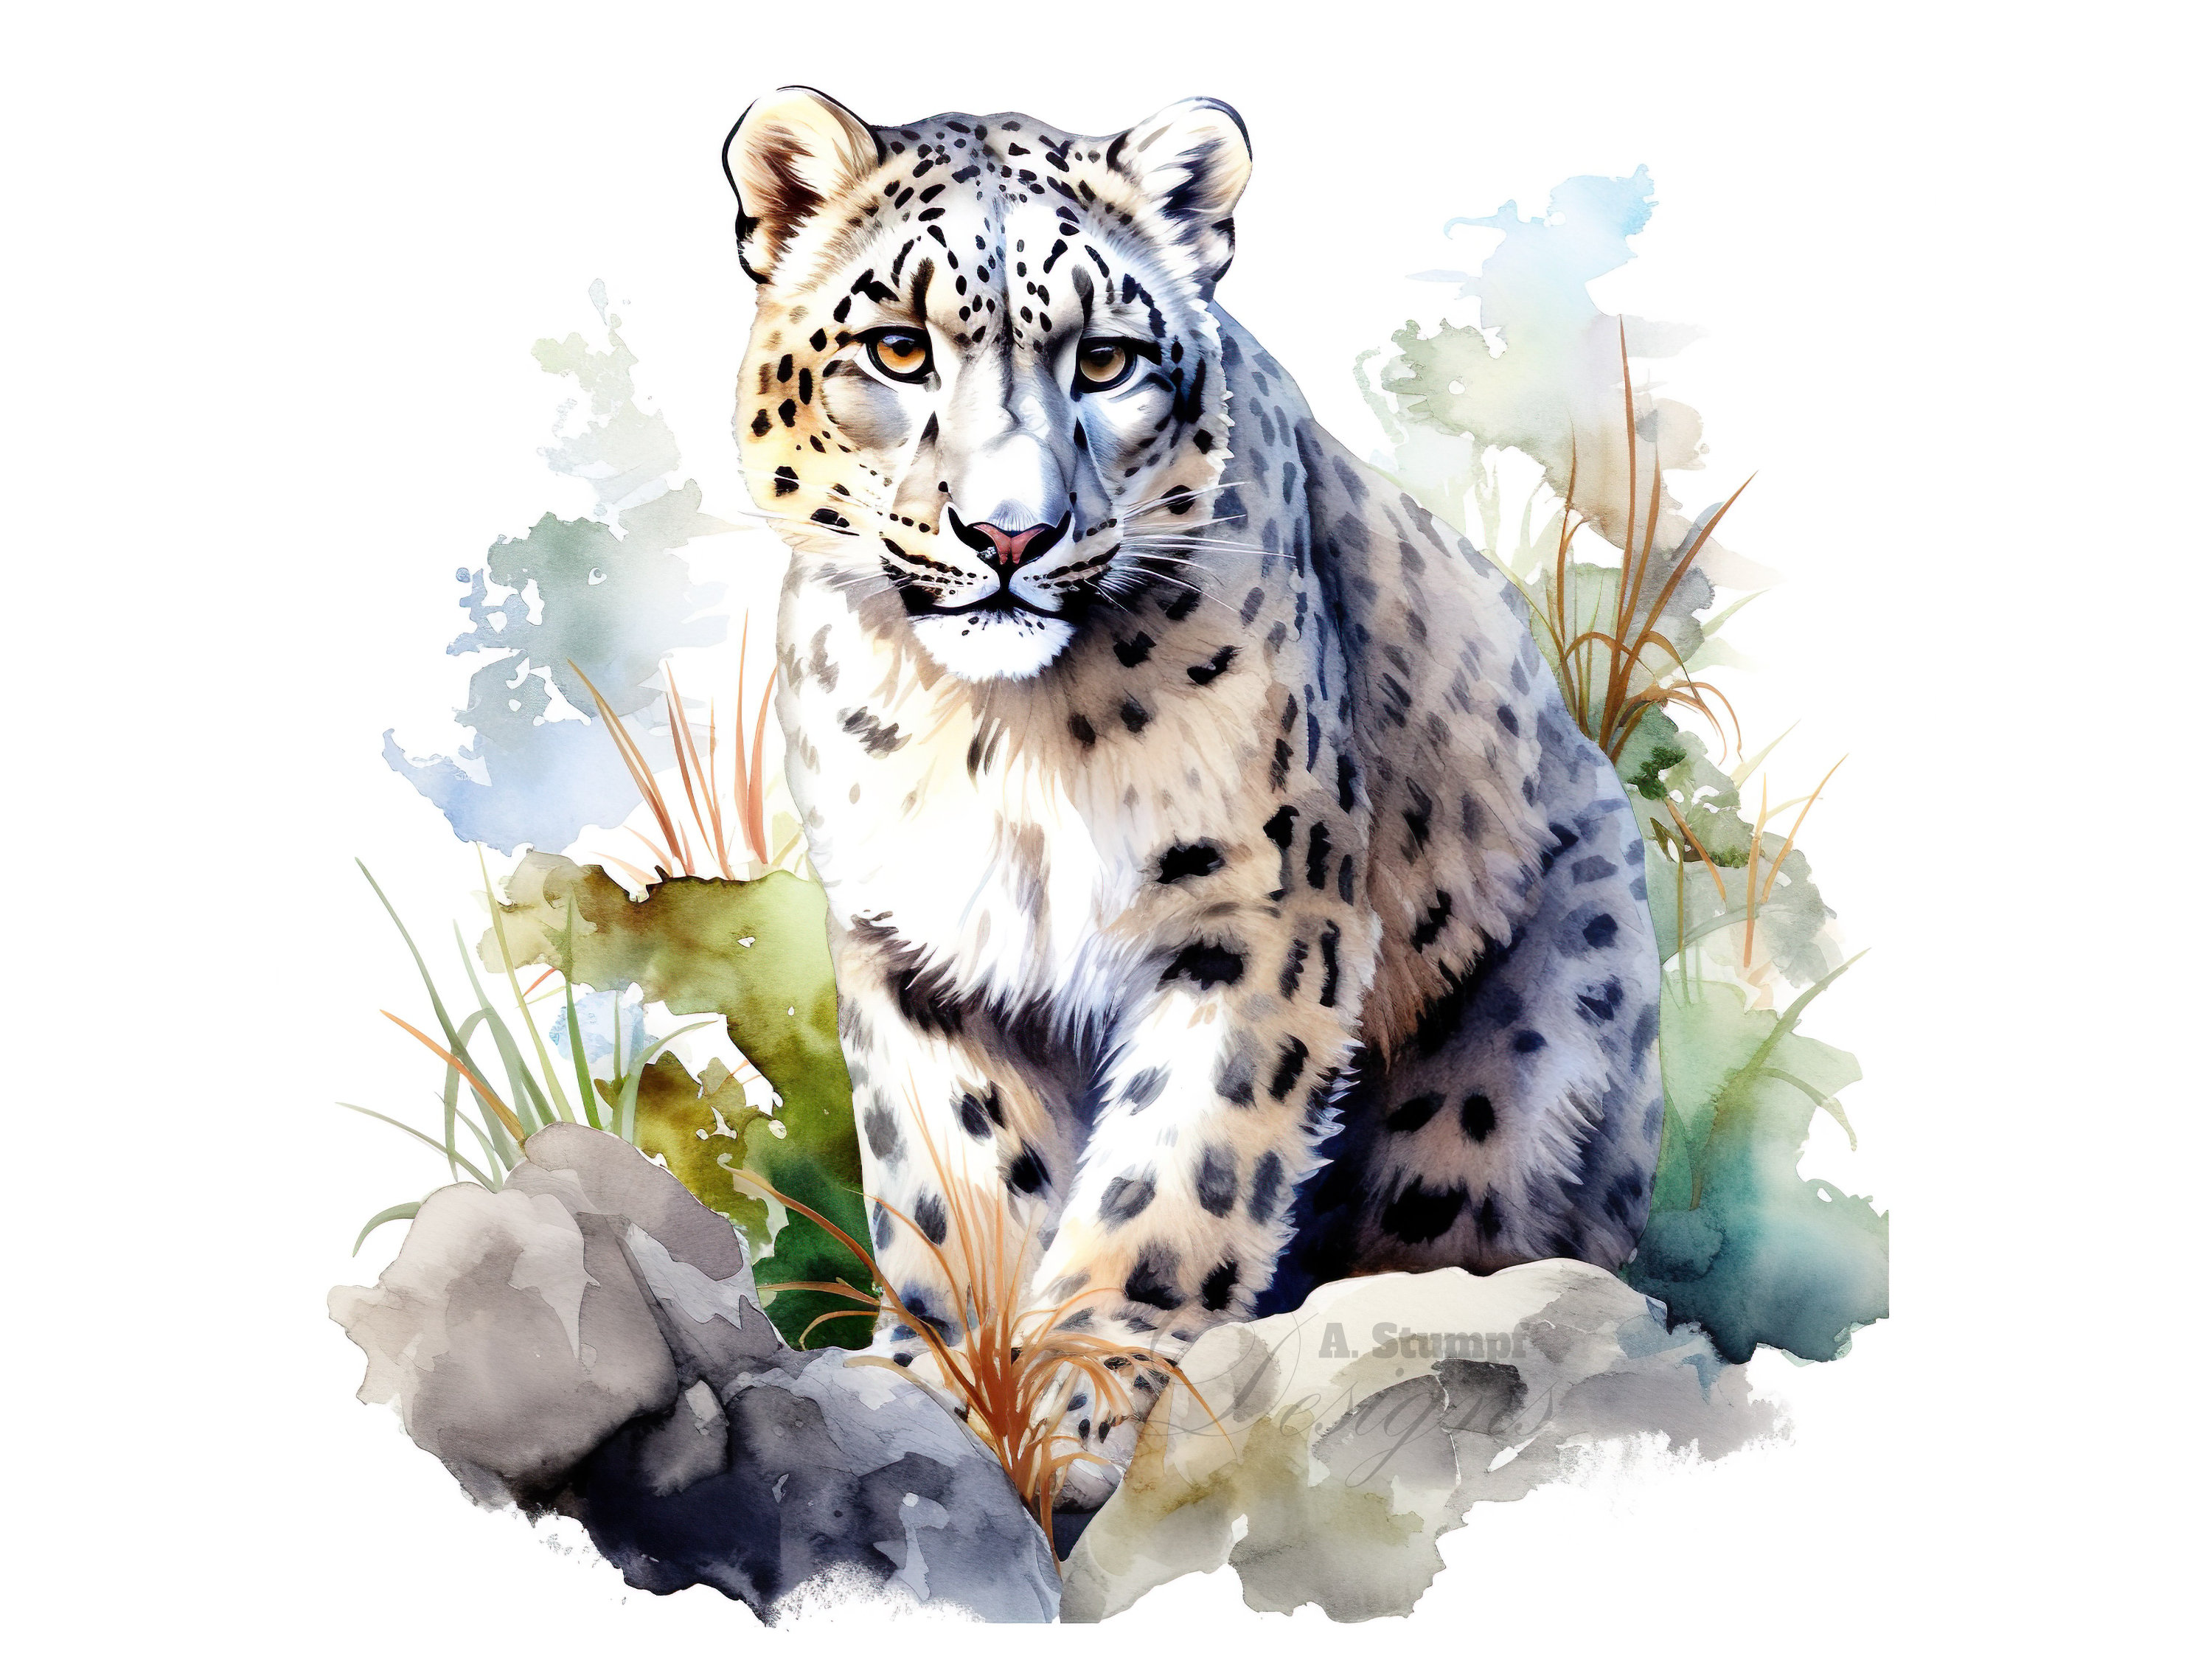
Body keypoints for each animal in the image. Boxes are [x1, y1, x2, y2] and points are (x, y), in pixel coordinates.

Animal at [723, 87, 1663, 1510]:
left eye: (1107, 362)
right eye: (896, 348)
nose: (1010, 534)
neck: (997, 737)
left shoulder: (1260, 912)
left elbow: (1181, 1162)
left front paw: (1082, 1387)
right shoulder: (916, 942)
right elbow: (953, 1174)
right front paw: (949, 1377)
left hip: (1520, 1084)